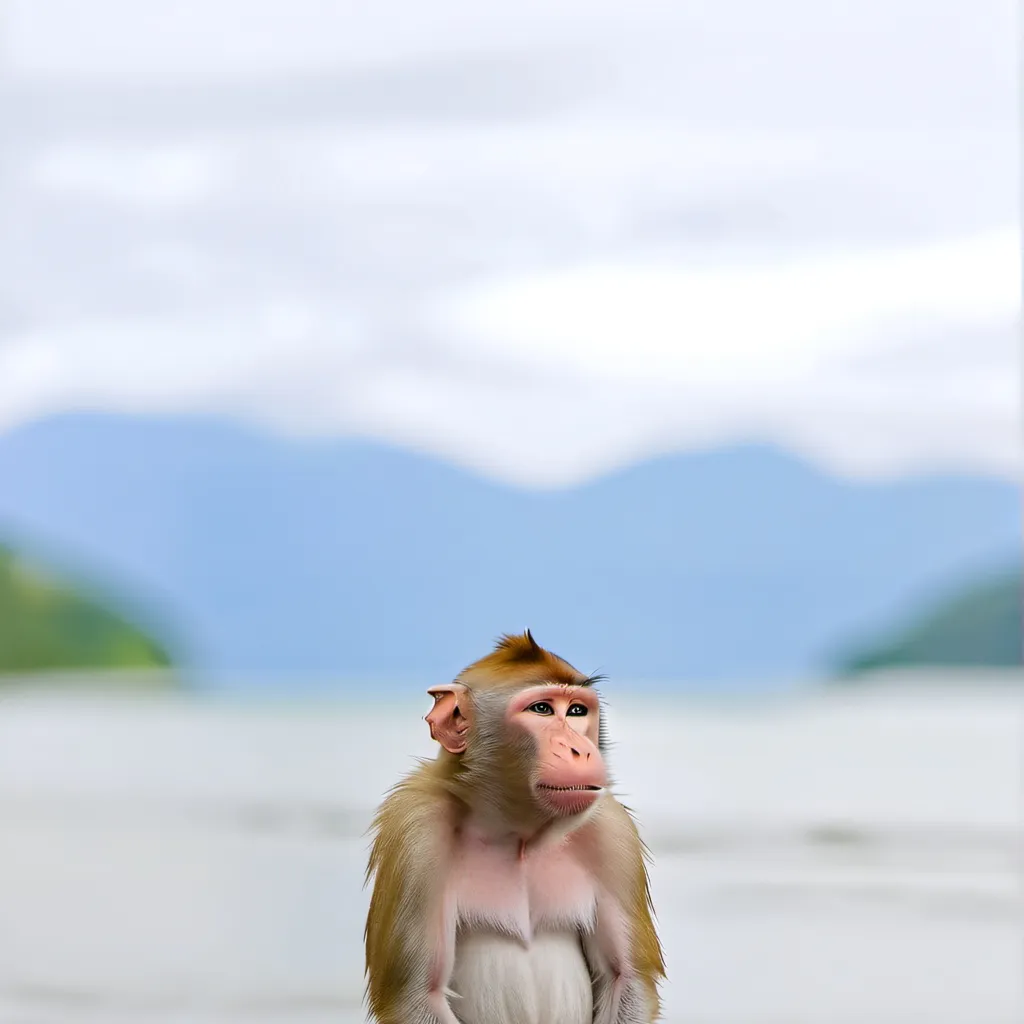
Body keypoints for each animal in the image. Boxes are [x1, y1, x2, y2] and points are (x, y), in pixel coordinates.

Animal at [364, 630, 665, 1024]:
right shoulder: (415, 831)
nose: (581, 750)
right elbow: (418, 994)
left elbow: (624, 978)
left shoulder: (612, 832)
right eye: (541, 709)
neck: (516, 834)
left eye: (576, 711)